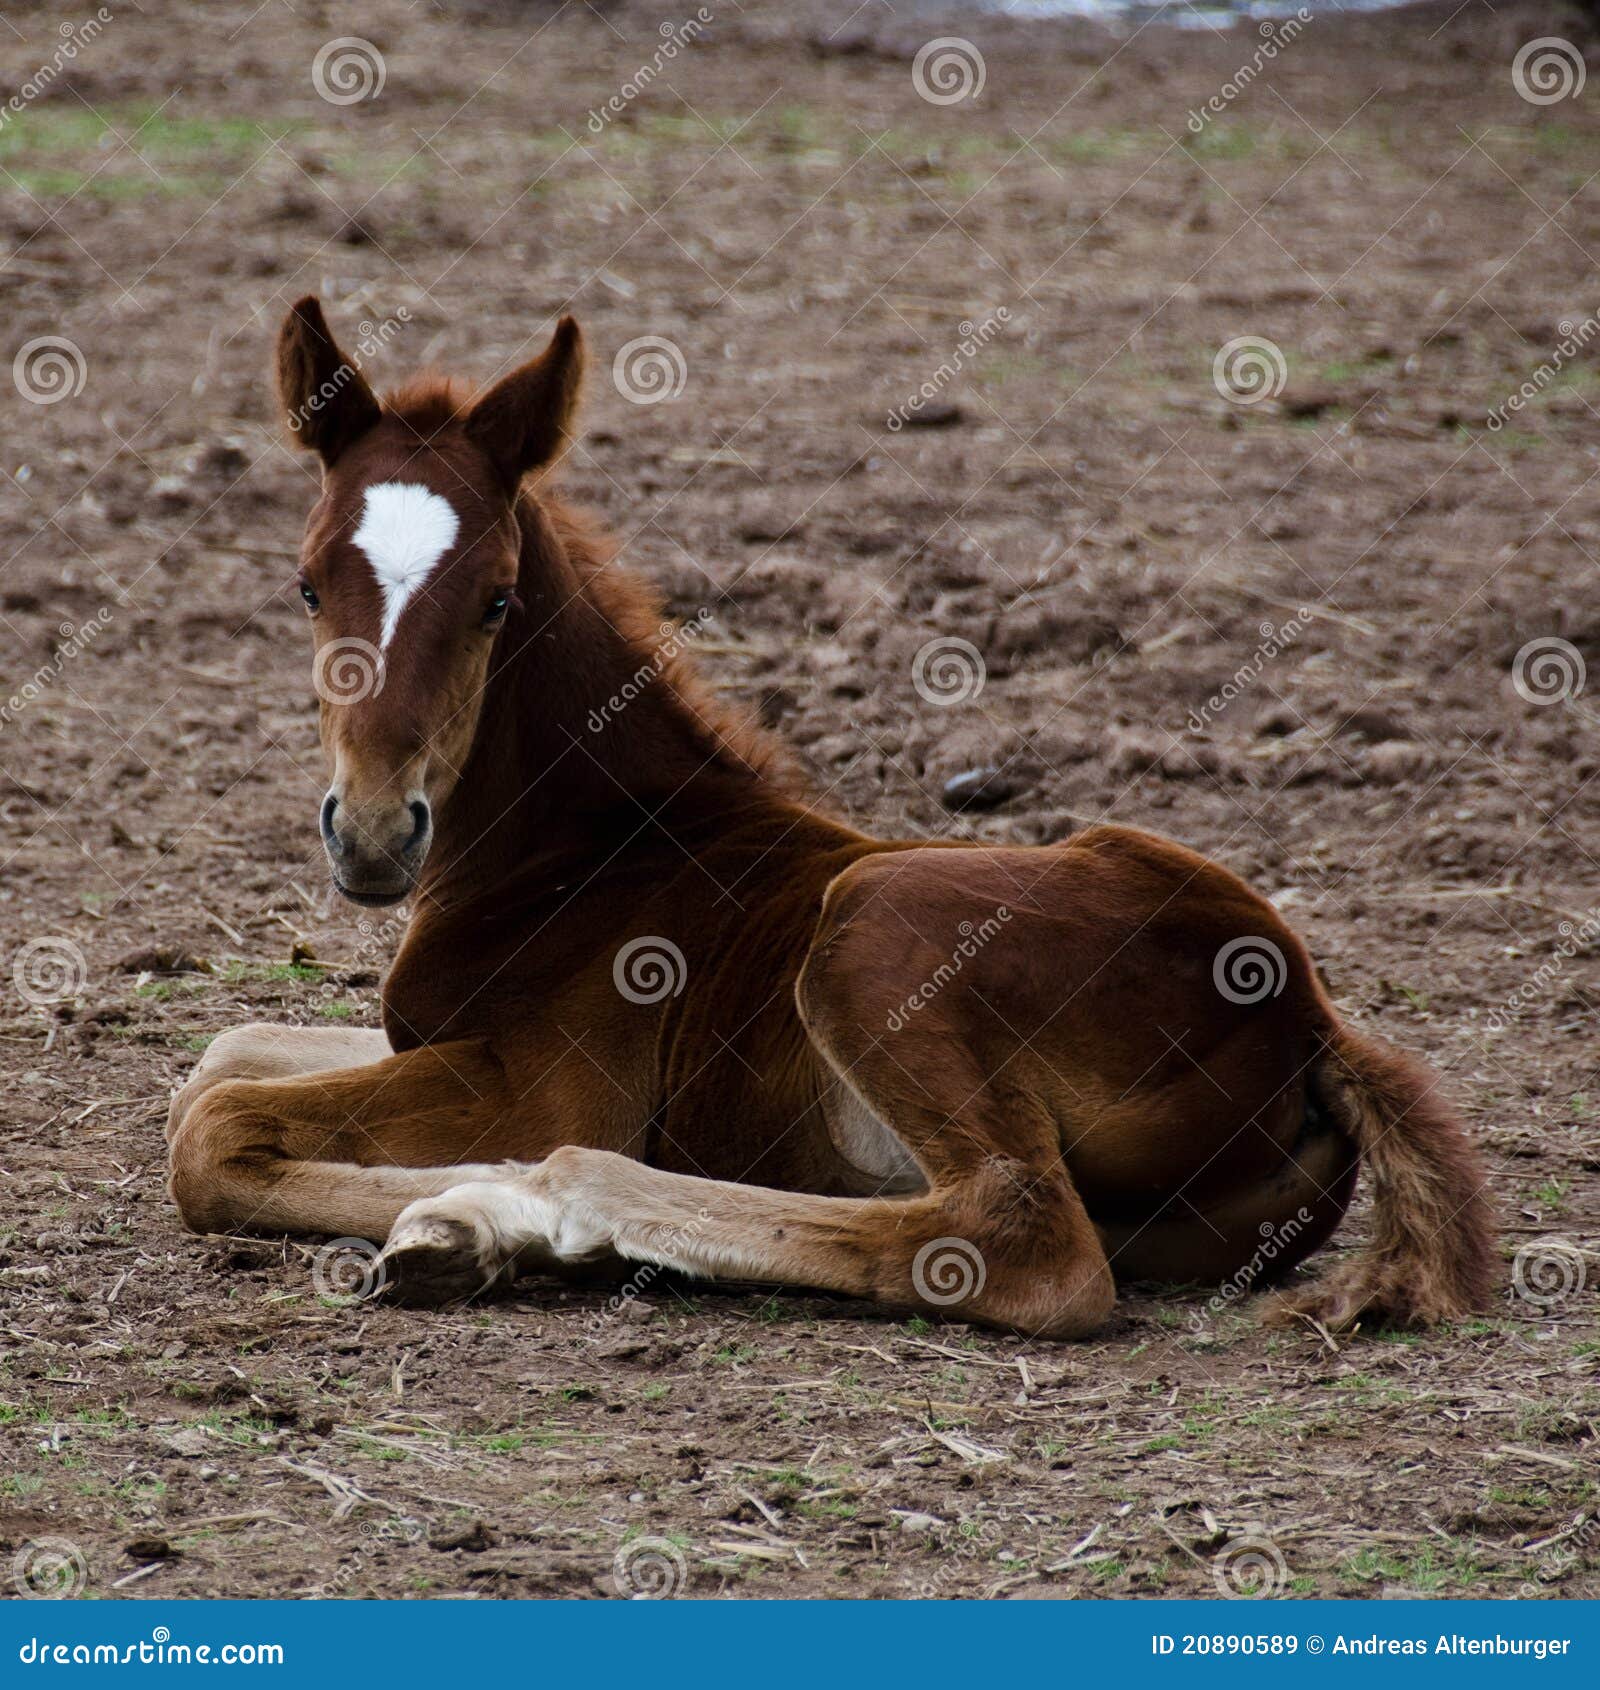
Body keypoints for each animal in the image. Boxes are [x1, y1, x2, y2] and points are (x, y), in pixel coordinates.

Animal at [164, 298, 1496, 1339]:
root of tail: (1310, 1021)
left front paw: (471, 1198)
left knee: (1020, 1241)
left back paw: (512, 1206)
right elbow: (220, 1057)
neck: (582, 847)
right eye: (305, 584)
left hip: (873, 918)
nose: (374, 833)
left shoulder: (540, 1082)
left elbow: (213, 1131)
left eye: (494, 599)